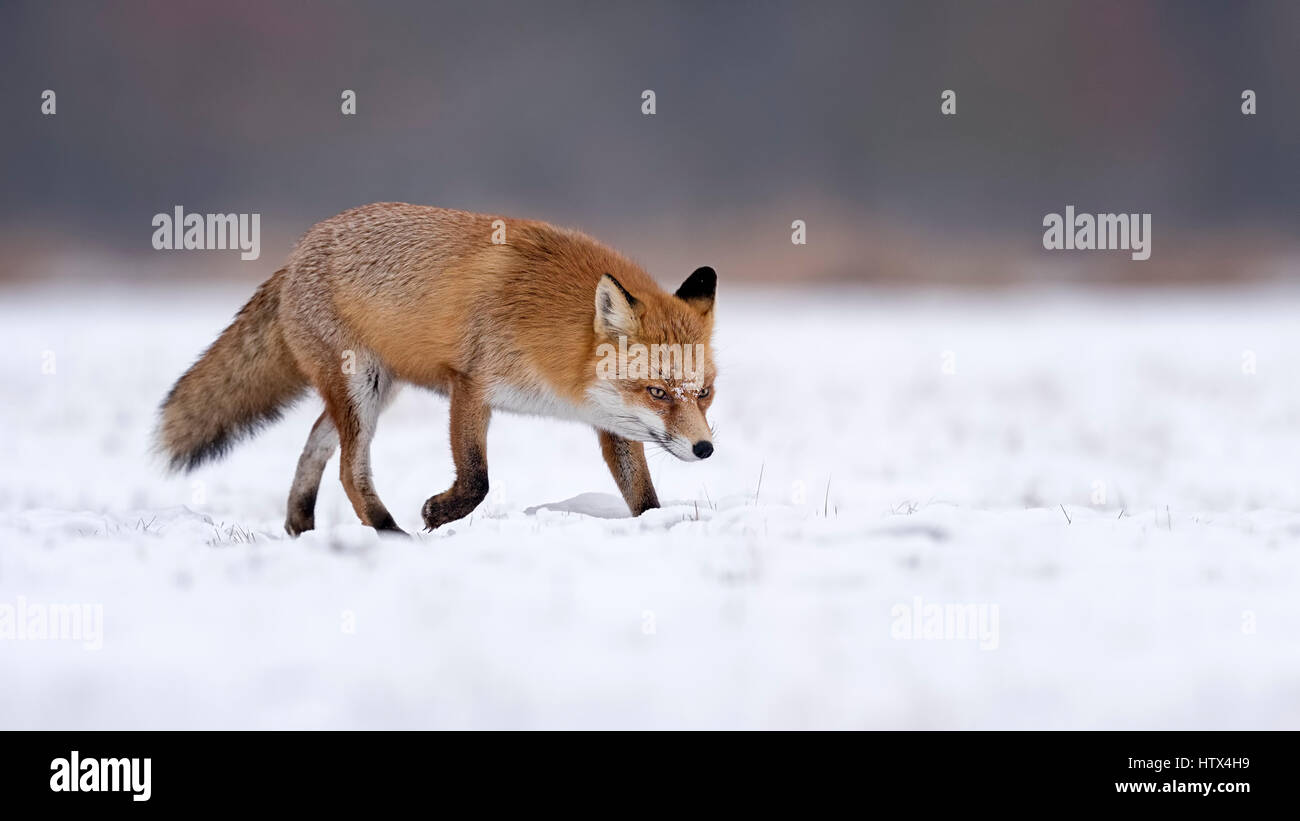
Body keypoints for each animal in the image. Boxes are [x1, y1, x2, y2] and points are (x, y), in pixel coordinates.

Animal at [156, 203, 717, 535]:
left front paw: (654, 529)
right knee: (349, 468)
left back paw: (301, 525)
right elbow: (478, 479)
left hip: (374, 390)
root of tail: (295, 256)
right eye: (658, 392)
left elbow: (643, 496)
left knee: (315, 445)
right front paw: (438, 514)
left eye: (704, 393)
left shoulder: (610, 420)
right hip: (360, 386)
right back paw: (389, 534)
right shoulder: (471, 385)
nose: (705, 448)